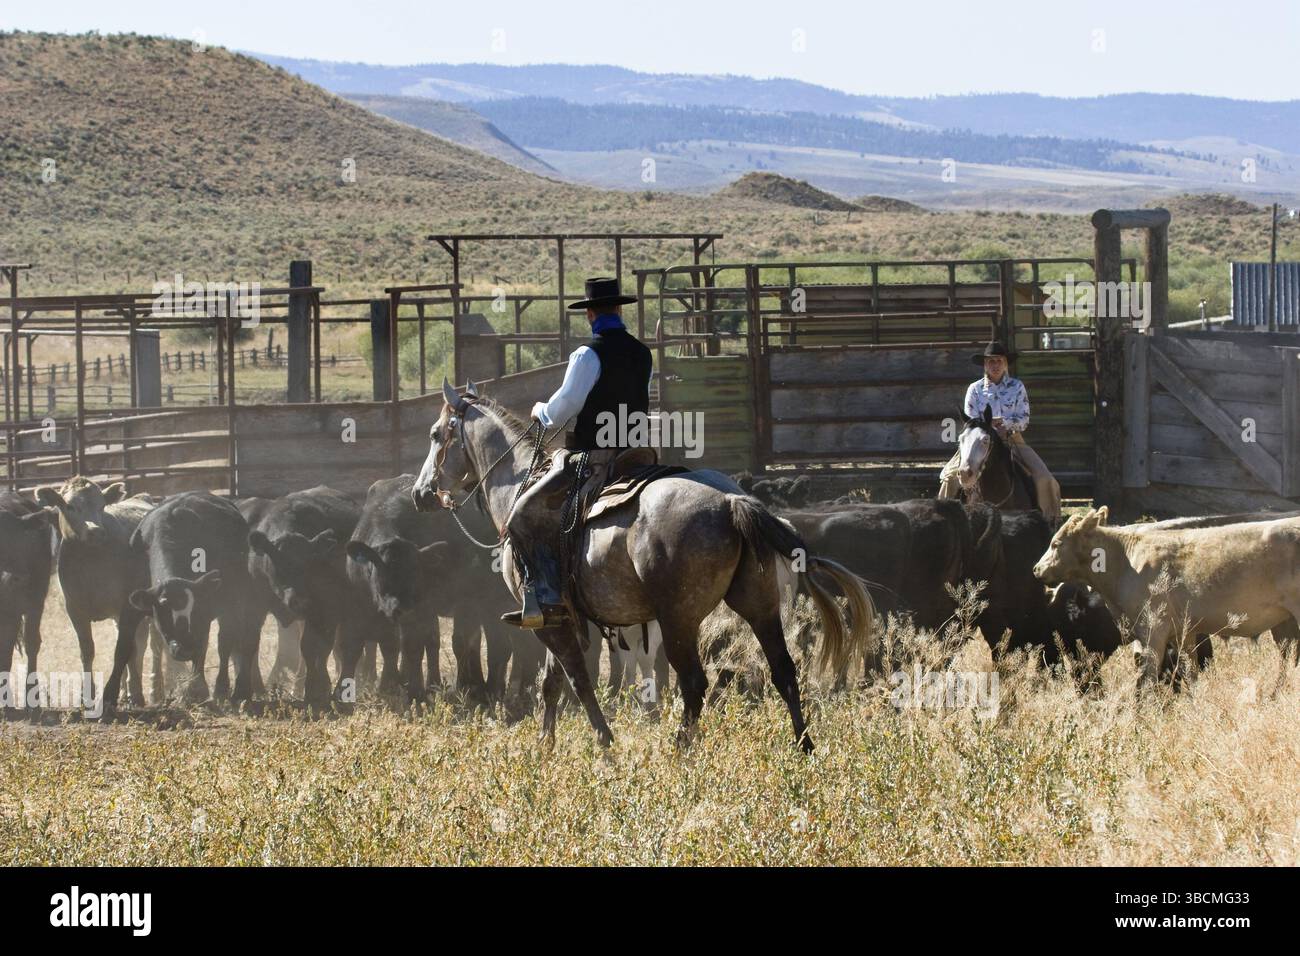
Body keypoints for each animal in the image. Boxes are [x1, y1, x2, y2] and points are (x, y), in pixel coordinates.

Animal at [37, 477, 167, 707]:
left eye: (101, 505)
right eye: (70, 506)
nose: (95, 531)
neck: (91, 563)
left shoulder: (127, 607)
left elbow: (123, 650)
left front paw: (116, 694)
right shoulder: (75, 610)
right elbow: (87, 650)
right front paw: (86, 695)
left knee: (154, 645)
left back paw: (153, 690)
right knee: (139, 645)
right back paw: (128, 691)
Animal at [122, 491, 260, 707]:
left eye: (195, 610)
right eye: (164, 609)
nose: (184, 649)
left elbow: (206, 645)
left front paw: (196, 689)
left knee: (228, 642)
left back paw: (230, 689)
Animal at [245, 486, 397, 706]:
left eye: (309, 564)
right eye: (277, 564)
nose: (299, 600)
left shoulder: (325, 608)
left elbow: (312, 648)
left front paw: (314, 689)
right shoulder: (255, 607)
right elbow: (252, 645)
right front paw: (256, 689)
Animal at [345, 475, 539, 706]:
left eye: (414, 575)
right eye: (383, 575)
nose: (400, 608)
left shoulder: (458, 603)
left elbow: (439, 644)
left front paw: (421, 692)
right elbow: (404, 644)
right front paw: (400, 686)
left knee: (508, 647)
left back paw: (504, 690)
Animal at [1033, 506, 1300, 683]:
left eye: (1056, 544)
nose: (1036, 569)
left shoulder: (1153, 630)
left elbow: (1147, 680)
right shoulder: (1185, 632)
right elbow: (1190, 674)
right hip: (1285, 623)